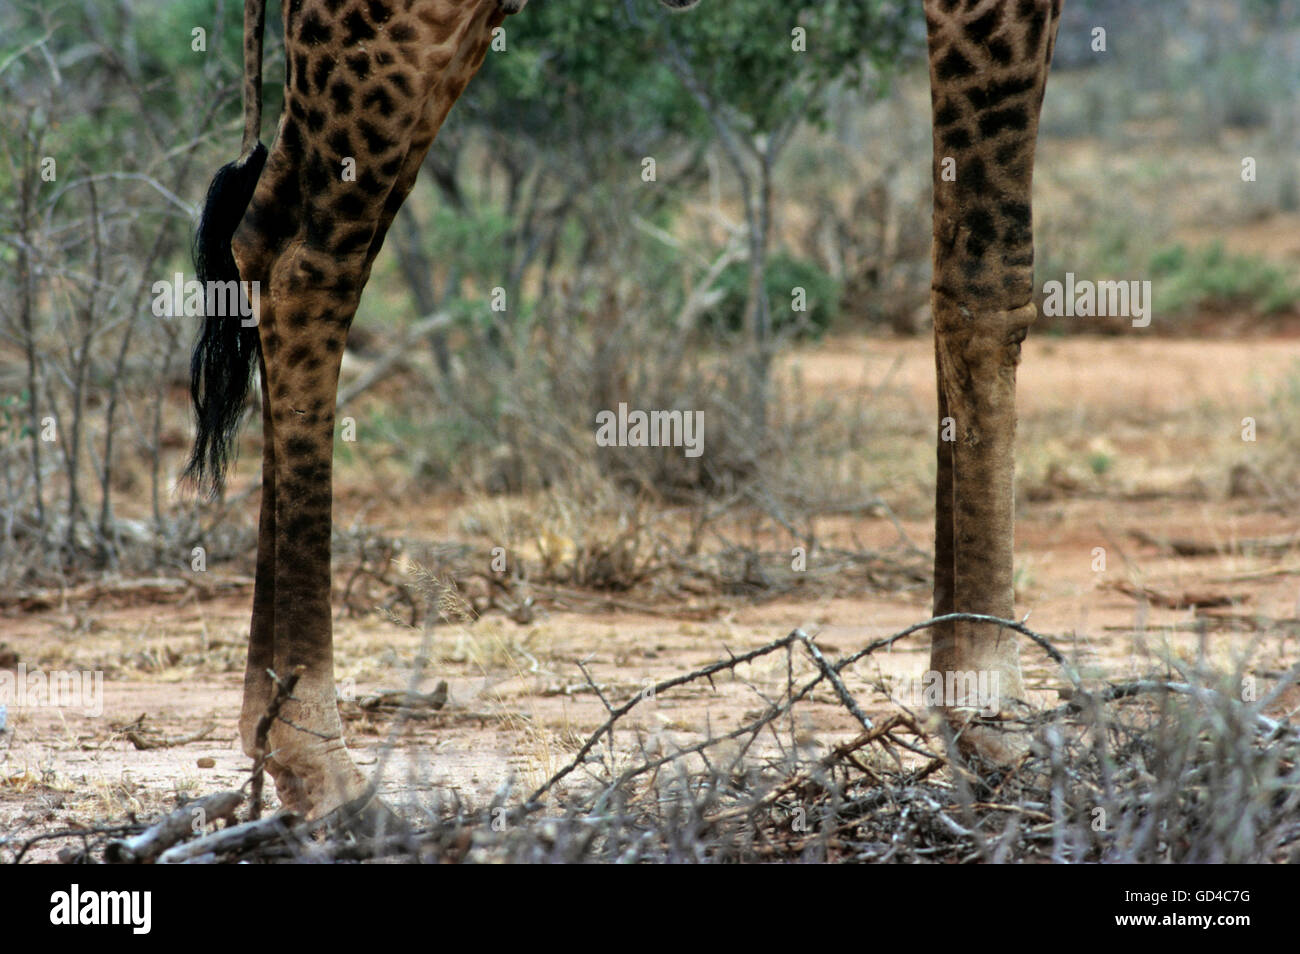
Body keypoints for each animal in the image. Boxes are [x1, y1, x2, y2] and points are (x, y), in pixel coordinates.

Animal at [185, 0, 1058, 821]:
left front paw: (960, 709)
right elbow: (988, 279)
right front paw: (994, 718)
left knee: (266, 233)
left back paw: (273, 744)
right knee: (310, 266)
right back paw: (323, 762)